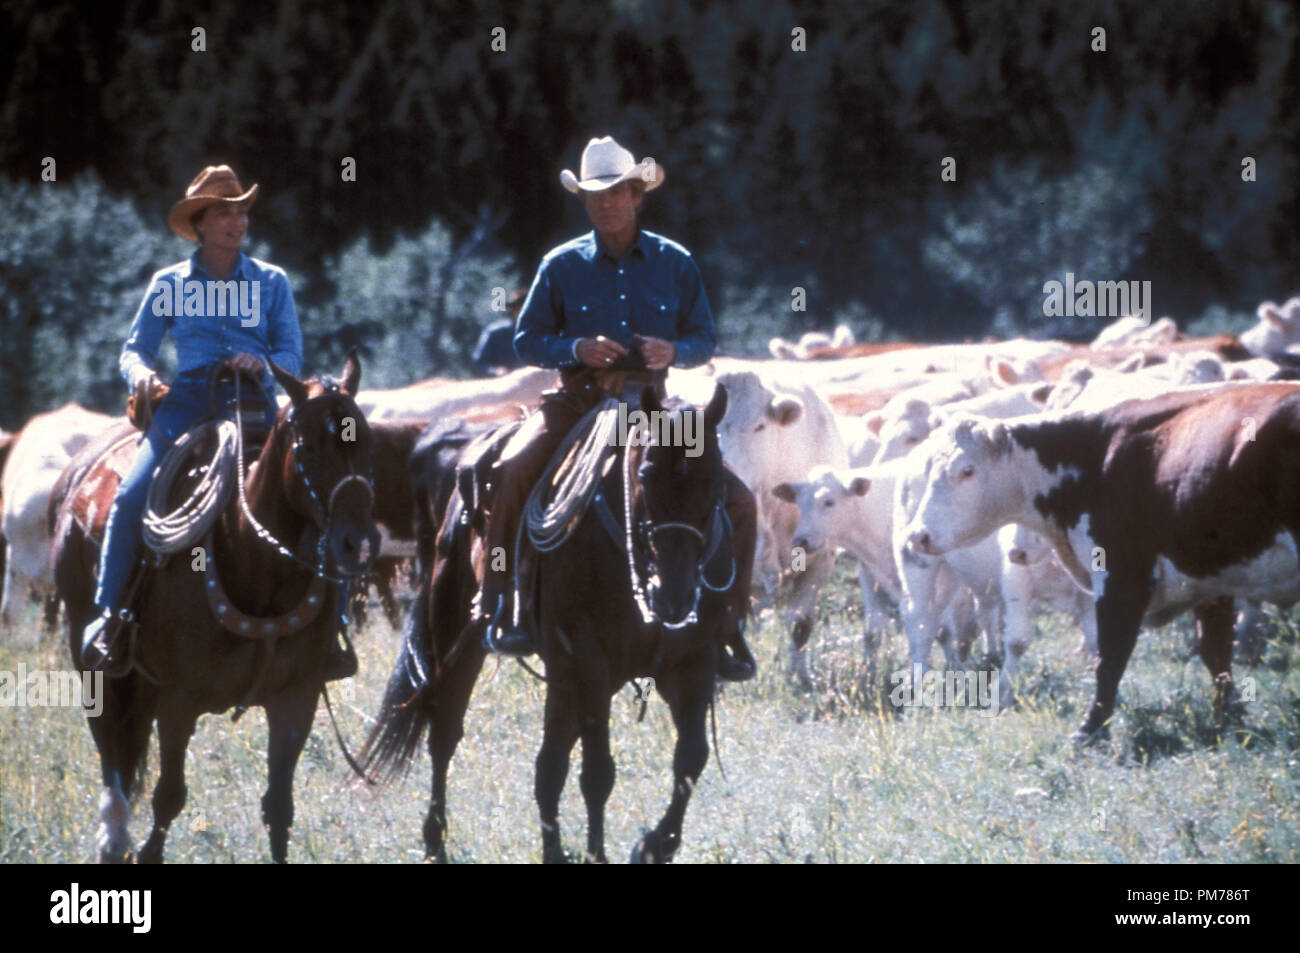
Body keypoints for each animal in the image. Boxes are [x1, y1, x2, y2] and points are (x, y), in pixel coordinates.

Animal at [51, 354, 378, 863]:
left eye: (365, 440)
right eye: (308, 446)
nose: (356, 542)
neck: (256, 566)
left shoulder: (297, 698)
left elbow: (279, 807)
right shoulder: (179, 701)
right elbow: (168, 797)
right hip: (95, 665)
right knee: (111, 752)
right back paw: (114, 837)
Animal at [363, 383, 736, 863]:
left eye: (716, 482)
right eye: (647, 473)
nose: (674, 596)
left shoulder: (693, 662)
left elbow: (690, 758)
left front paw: (654, 845)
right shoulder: (589, 659)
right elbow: (597, 772)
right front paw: (599, 853)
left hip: (563, 674)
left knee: (551, 759)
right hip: (459, 635)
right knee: (445, 729)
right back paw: (435, 841)